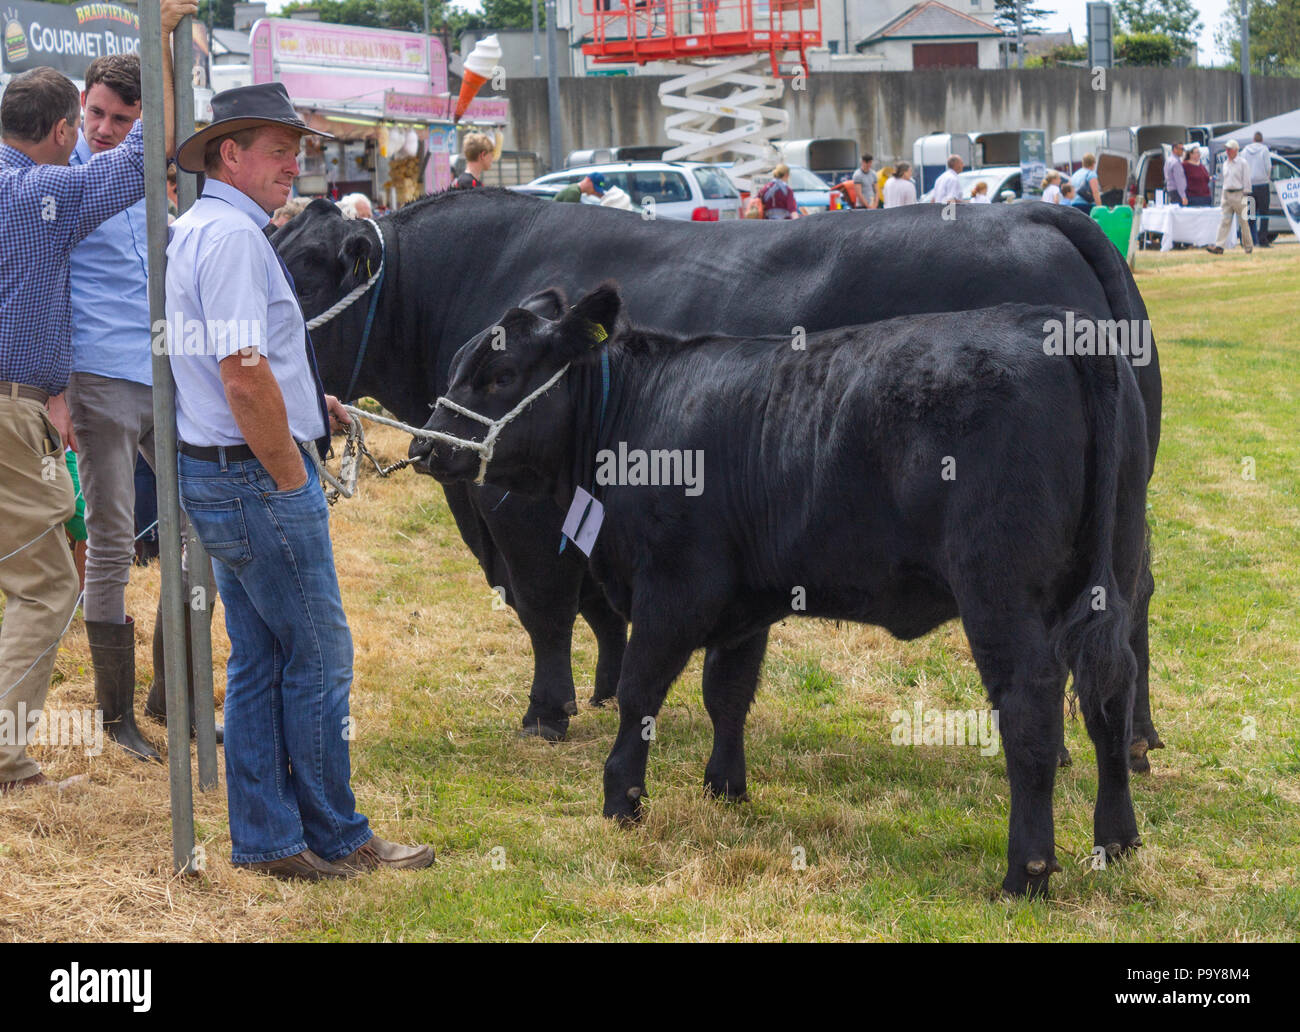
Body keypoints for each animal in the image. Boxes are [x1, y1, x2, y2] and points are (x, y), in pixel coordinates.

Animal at [273, 190, 1164, 769]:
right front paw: (605, 691)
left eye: (301, 277)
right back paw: (1138, 739)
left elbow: (547, 610)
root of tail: (1046, 212)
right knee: (1134, 602)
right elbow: (601, 611)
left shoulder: (517, 509)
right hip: (1123, 509)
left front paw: (547, 712)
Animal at [414, 284, 1151, 898]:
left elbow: (639, 692)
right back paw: (1117, 839)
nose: (425, 448)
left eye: (501, 376)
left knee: (1029, 705)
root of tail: (1059, 326)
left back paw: (1025, 872)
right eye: (455, 368)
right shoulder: (746, 601)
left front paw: (622, 798)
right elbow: (727, 692)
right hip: (1108, 567)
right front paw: (725, 788)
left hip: (998, 588)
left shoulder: (673, 588)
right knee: (1110, 695)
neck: (638, 415)